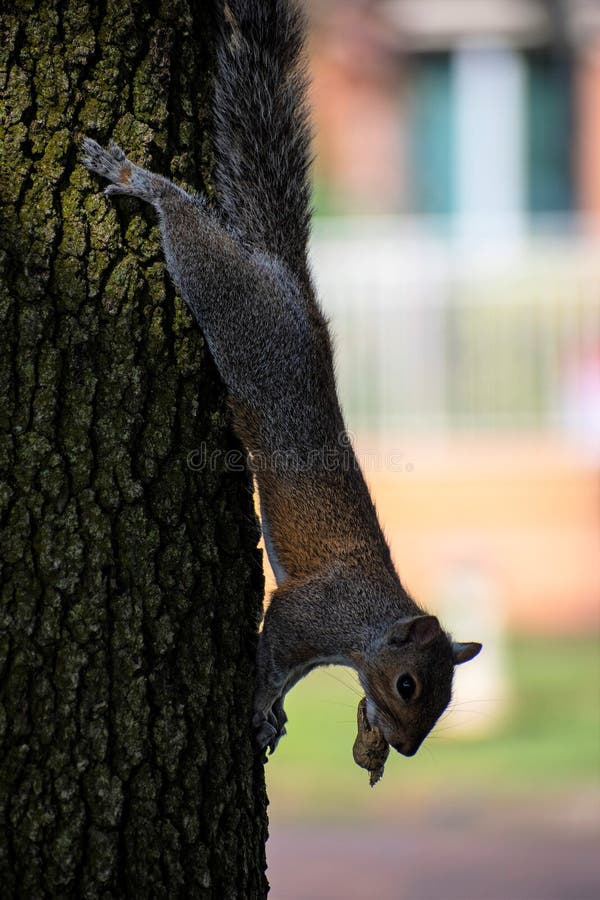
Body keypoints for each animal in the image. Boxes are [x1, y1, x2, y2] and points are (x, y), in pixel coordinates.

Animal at [82, 0, 481, 760]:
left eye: (445, 701)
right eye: (409, 685)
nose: (407, 750)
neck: (363, 625)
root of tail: (291, 286)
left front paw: (276, 717)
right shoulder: (304, 614)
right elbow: (271, 661)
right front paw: (260, 705)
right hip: (240, 315)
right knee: (190, 235)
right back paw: (140, 180)